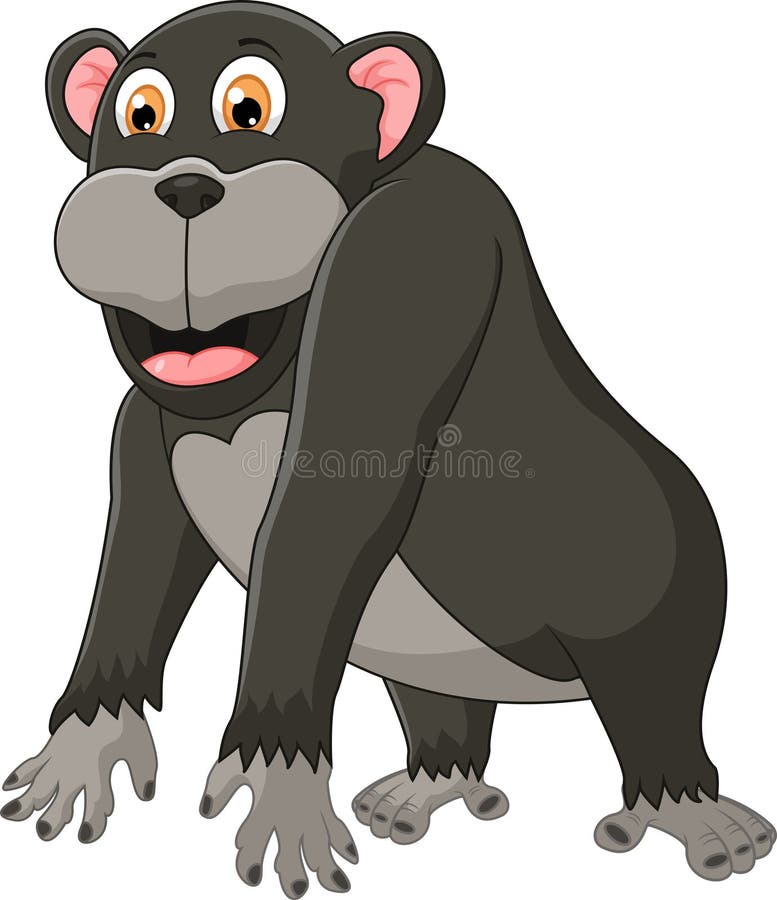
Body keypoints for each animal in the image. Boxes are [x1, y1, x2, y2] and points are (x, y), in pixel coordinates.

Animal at [1, 2, 773, 895]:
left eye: (250, 109)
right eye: (141, 116)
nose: (184, 187)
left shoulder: (408, 255)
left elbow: (323, 511)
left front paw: (276, 772)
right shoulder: (151, 422)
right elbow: (141, 543)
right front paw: (88, 740)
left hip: (662, 578)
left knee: (653, 690)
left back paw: (685, 809)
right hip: (435, 661)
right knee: (441, 706)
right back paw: (431, 784)